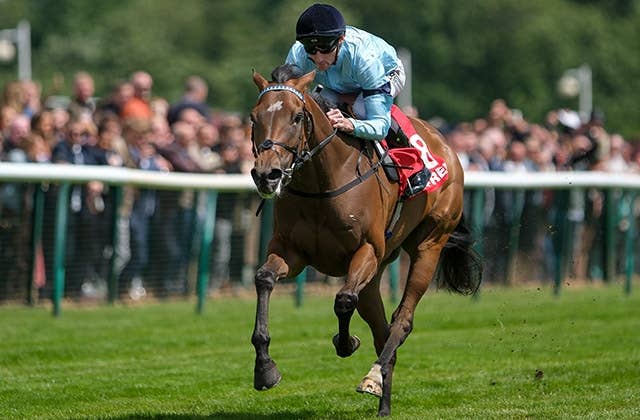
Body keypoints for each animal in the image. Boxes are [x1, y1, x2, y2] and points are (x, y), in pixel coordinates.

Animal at [249, 64, 482, 417]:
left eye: (297, 117)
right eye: (254, 117)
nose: (267, 174)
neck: (322, 182)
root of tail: (447, 147)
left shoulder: (366, 251)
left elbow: (343, 300)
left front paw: (345, 343)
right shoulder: (292, 251)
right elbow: (264, 279)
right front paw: (265, 369)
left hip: (429, 244)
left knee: (401, 321)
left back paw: (373, 377)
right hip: (377, 272)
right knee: (381, 330)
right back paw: (383, 404)